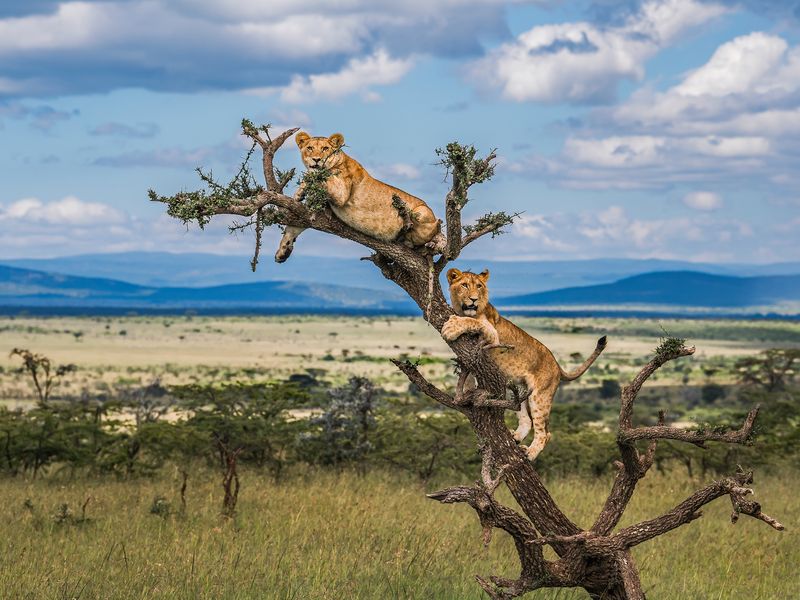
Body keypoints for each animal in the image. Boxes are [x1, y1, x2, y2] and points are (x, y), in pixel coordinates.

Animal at [275, 132, 442, 262]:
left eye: (325, 148)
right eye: (310, 148)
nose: (316, 159)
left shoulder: (341, 193)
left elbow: (317, 174)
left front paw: (303, 187)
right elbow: (293, 227)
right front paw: (282, 251)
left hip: (422, 211)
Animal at [440, 268, 607, 461]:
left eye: (479, 286)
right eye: (465, 285)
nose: (474, 299)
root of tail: (557, 365)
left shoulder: (492, 335)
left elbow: (472, 322)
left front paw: (451, 327)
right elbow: (466, 368)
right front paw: (467, 389)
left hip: (540, 396)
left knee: (545, 433)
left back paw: (530, 453)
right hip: (519, 390)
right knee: (526, 419)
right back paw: (516, 437)